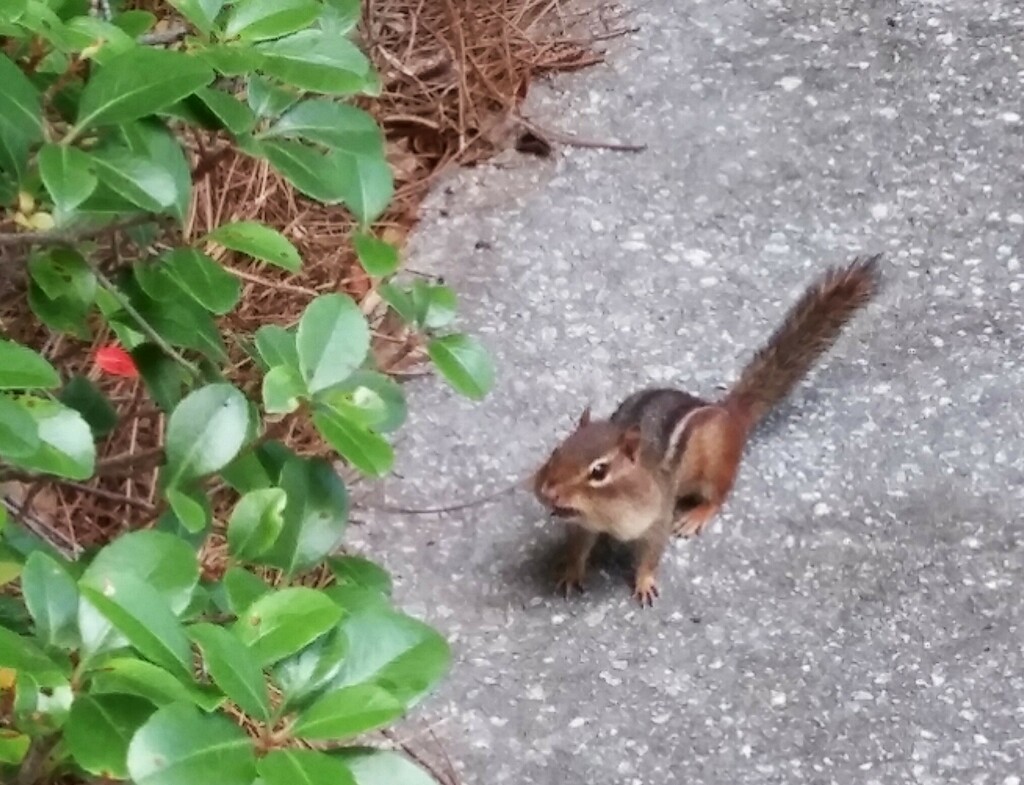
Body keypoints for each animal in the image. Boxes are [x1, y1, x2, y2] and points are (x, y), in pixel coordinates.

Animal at [532, 255, 882, 607]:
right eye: (556, 451)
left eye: (599, 471)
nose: (547, 492)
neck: (607, 512)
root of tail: (728, 412)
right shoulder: (584, 525)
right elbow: (578, 547)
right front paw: (570, 572)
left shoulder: (658, 516)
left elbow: (652, 553)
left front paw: (644, 582)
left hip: (716, 465)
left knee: (719, 495)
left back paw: (696, 515)